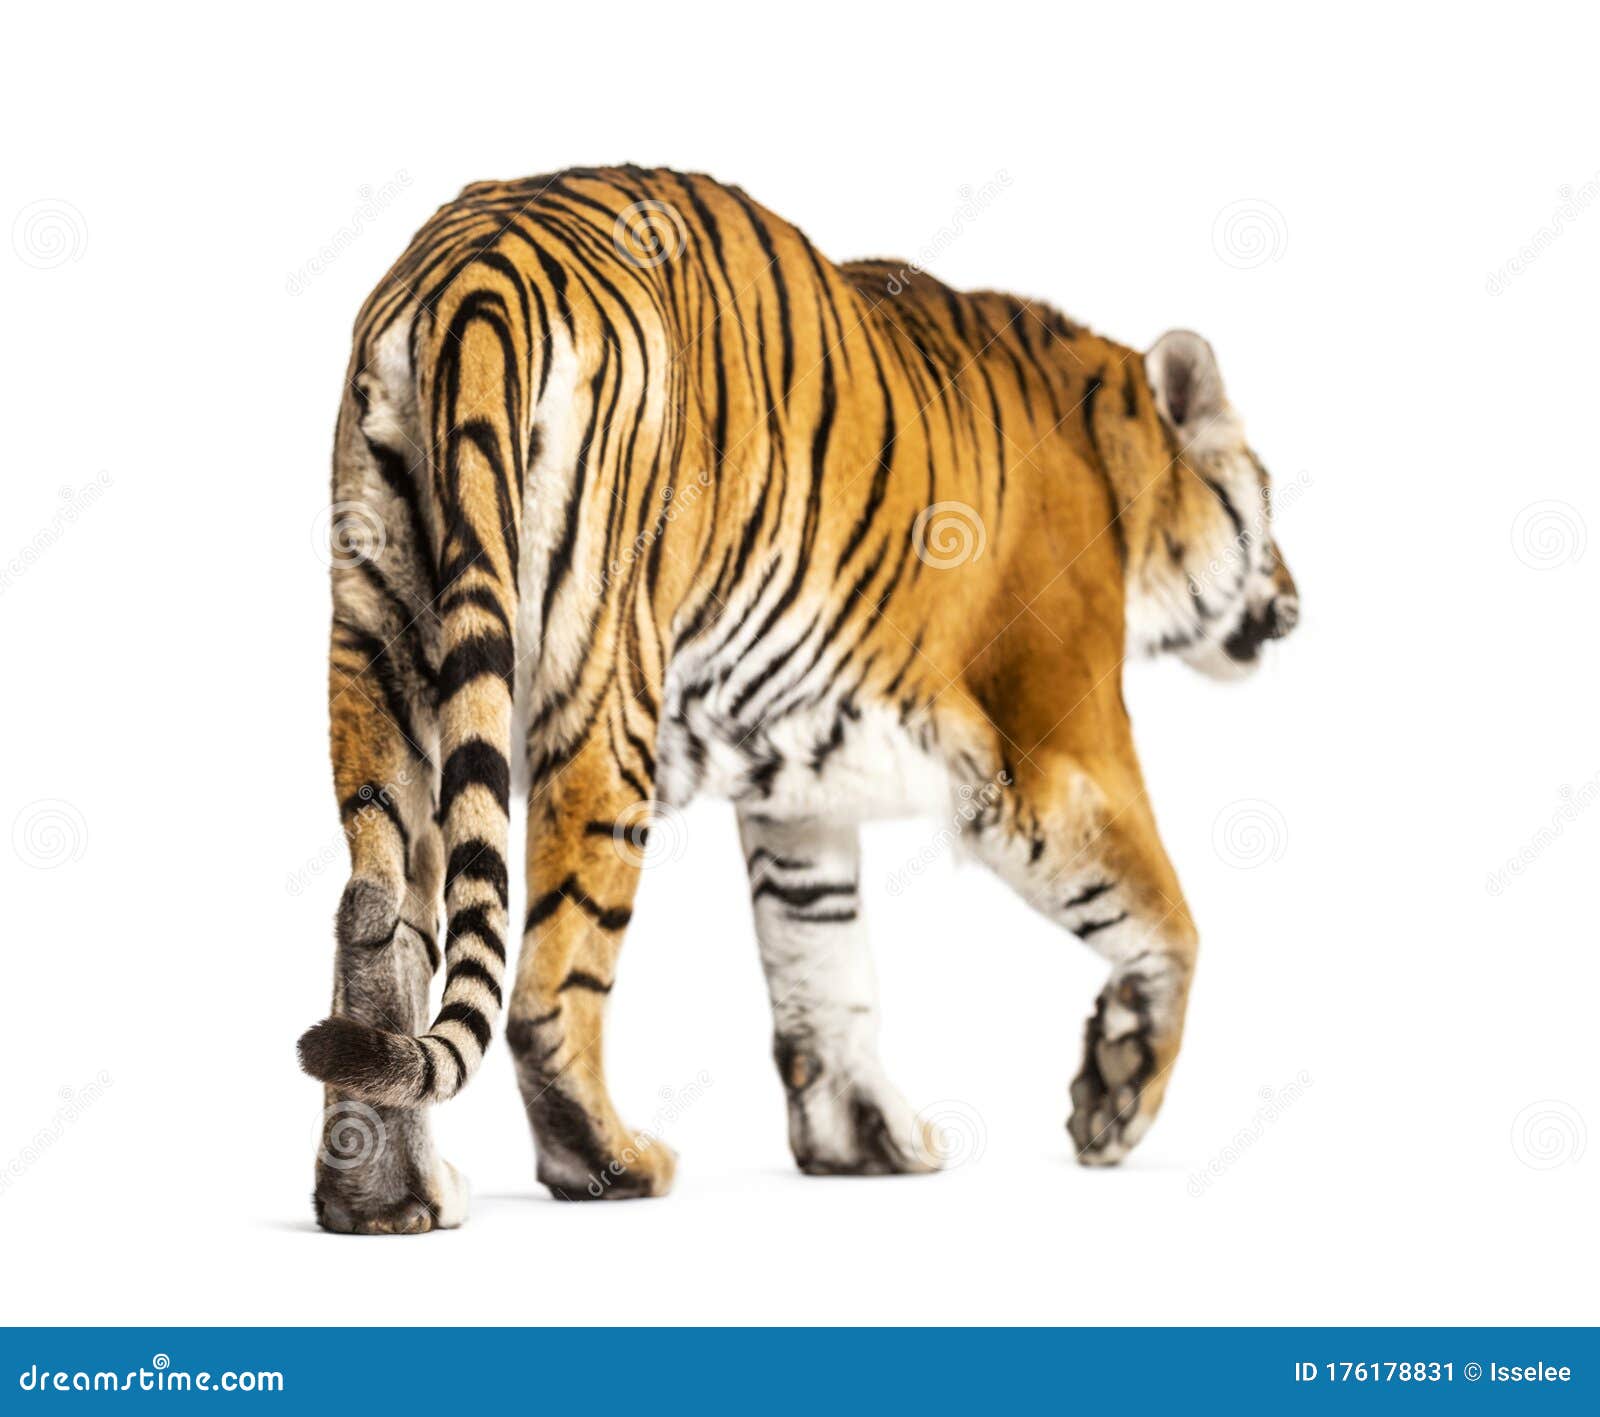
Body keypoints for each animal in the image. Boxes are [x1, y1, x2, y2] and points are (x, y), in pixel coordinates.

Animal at [297, 165, 1299, 1233]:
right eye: (1269, 499)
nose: (1295, 601)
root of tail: (477, 269)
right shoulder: (1060, 741)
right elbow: (1168, 914)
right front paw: (1114, 1097)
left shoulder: (801, 776)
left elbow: (820, 950)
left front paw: (858, 1141)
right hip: (608, 690)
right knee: (547, 985)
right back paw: (613, 1162)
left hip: (380, 649)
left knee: (375, 919)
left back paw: (378, 1197)